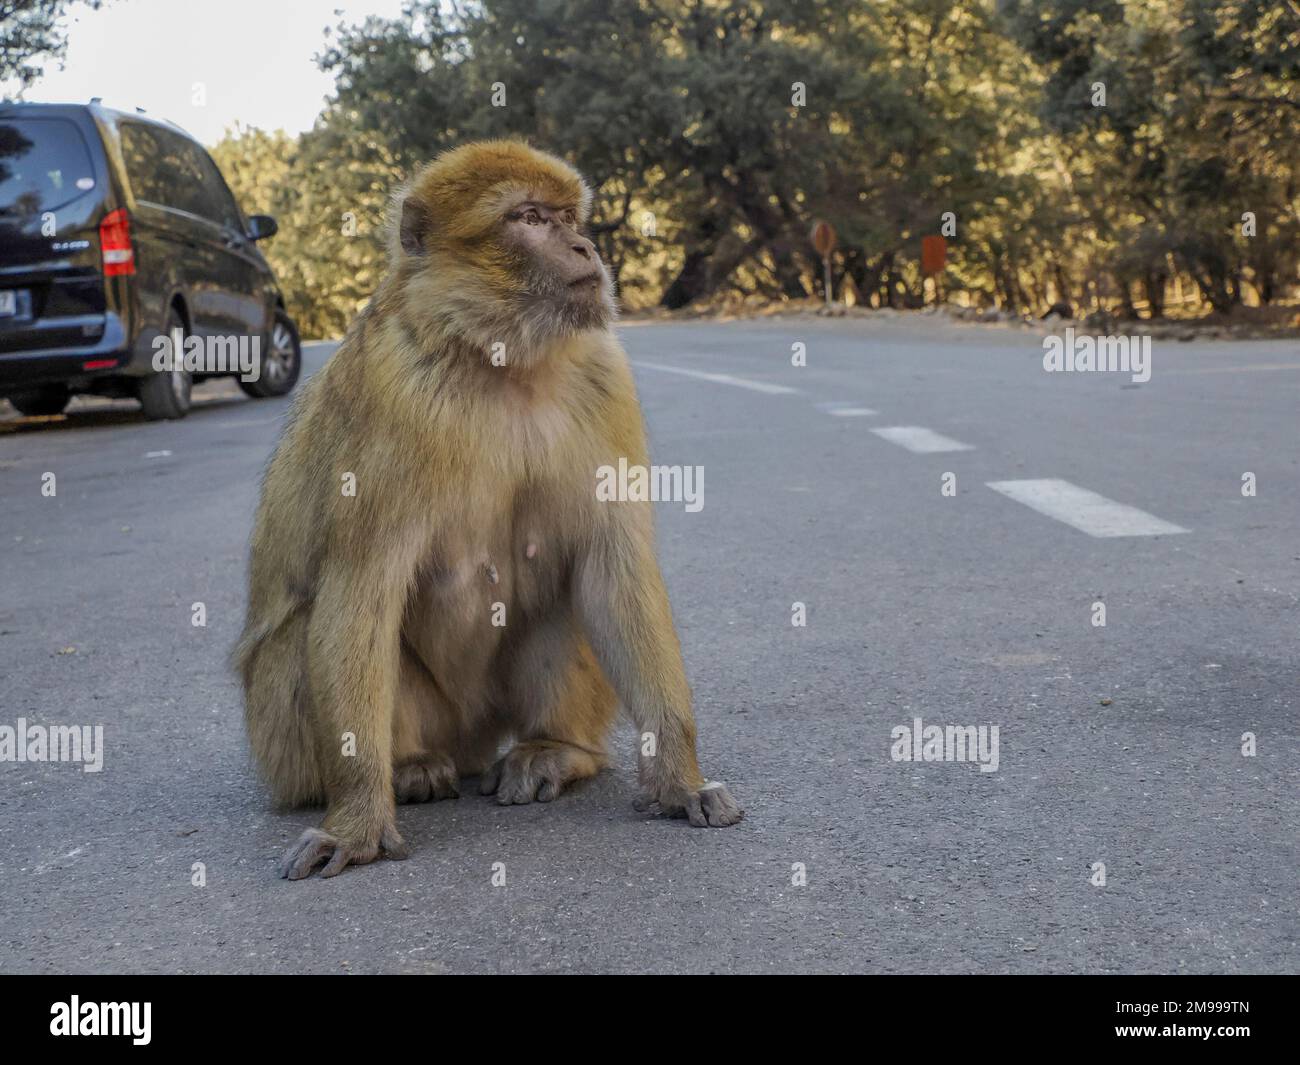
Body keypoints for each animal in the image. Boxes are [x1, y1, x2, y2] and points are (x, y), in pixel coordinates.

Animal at [235, 140, 743, 880]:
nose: (586, 247)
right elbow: (361, 592)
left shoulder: (605, 376)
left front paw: (678, 777)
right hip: (298, 747)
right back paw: (410, 769)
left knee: (568, 595)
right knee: (307, 633)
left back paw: (558, 750)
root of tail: (471, 741)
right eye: (528, 218)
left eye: (568, 216)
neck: (500, 358)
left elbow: (611, 568)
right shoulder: (389, 394)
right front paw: (357, 818)